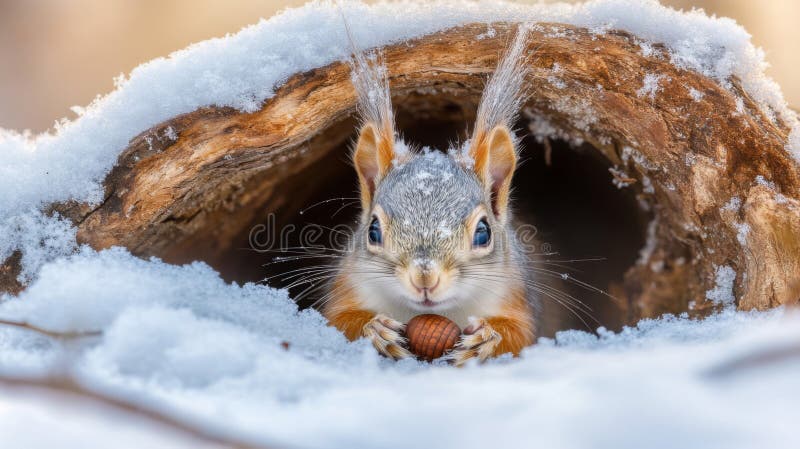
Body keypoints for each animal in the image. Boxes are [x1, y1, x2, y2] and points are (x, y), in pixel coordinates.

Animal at [323, 25, 539, 366]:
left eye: (483, 232)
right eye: (373, 230)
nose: (425, 279)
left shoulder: (517, 298)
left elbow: (520, 336)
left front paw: (486, 337)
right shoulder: (347, 288)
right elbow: (338, 321)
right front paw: (376, 329)